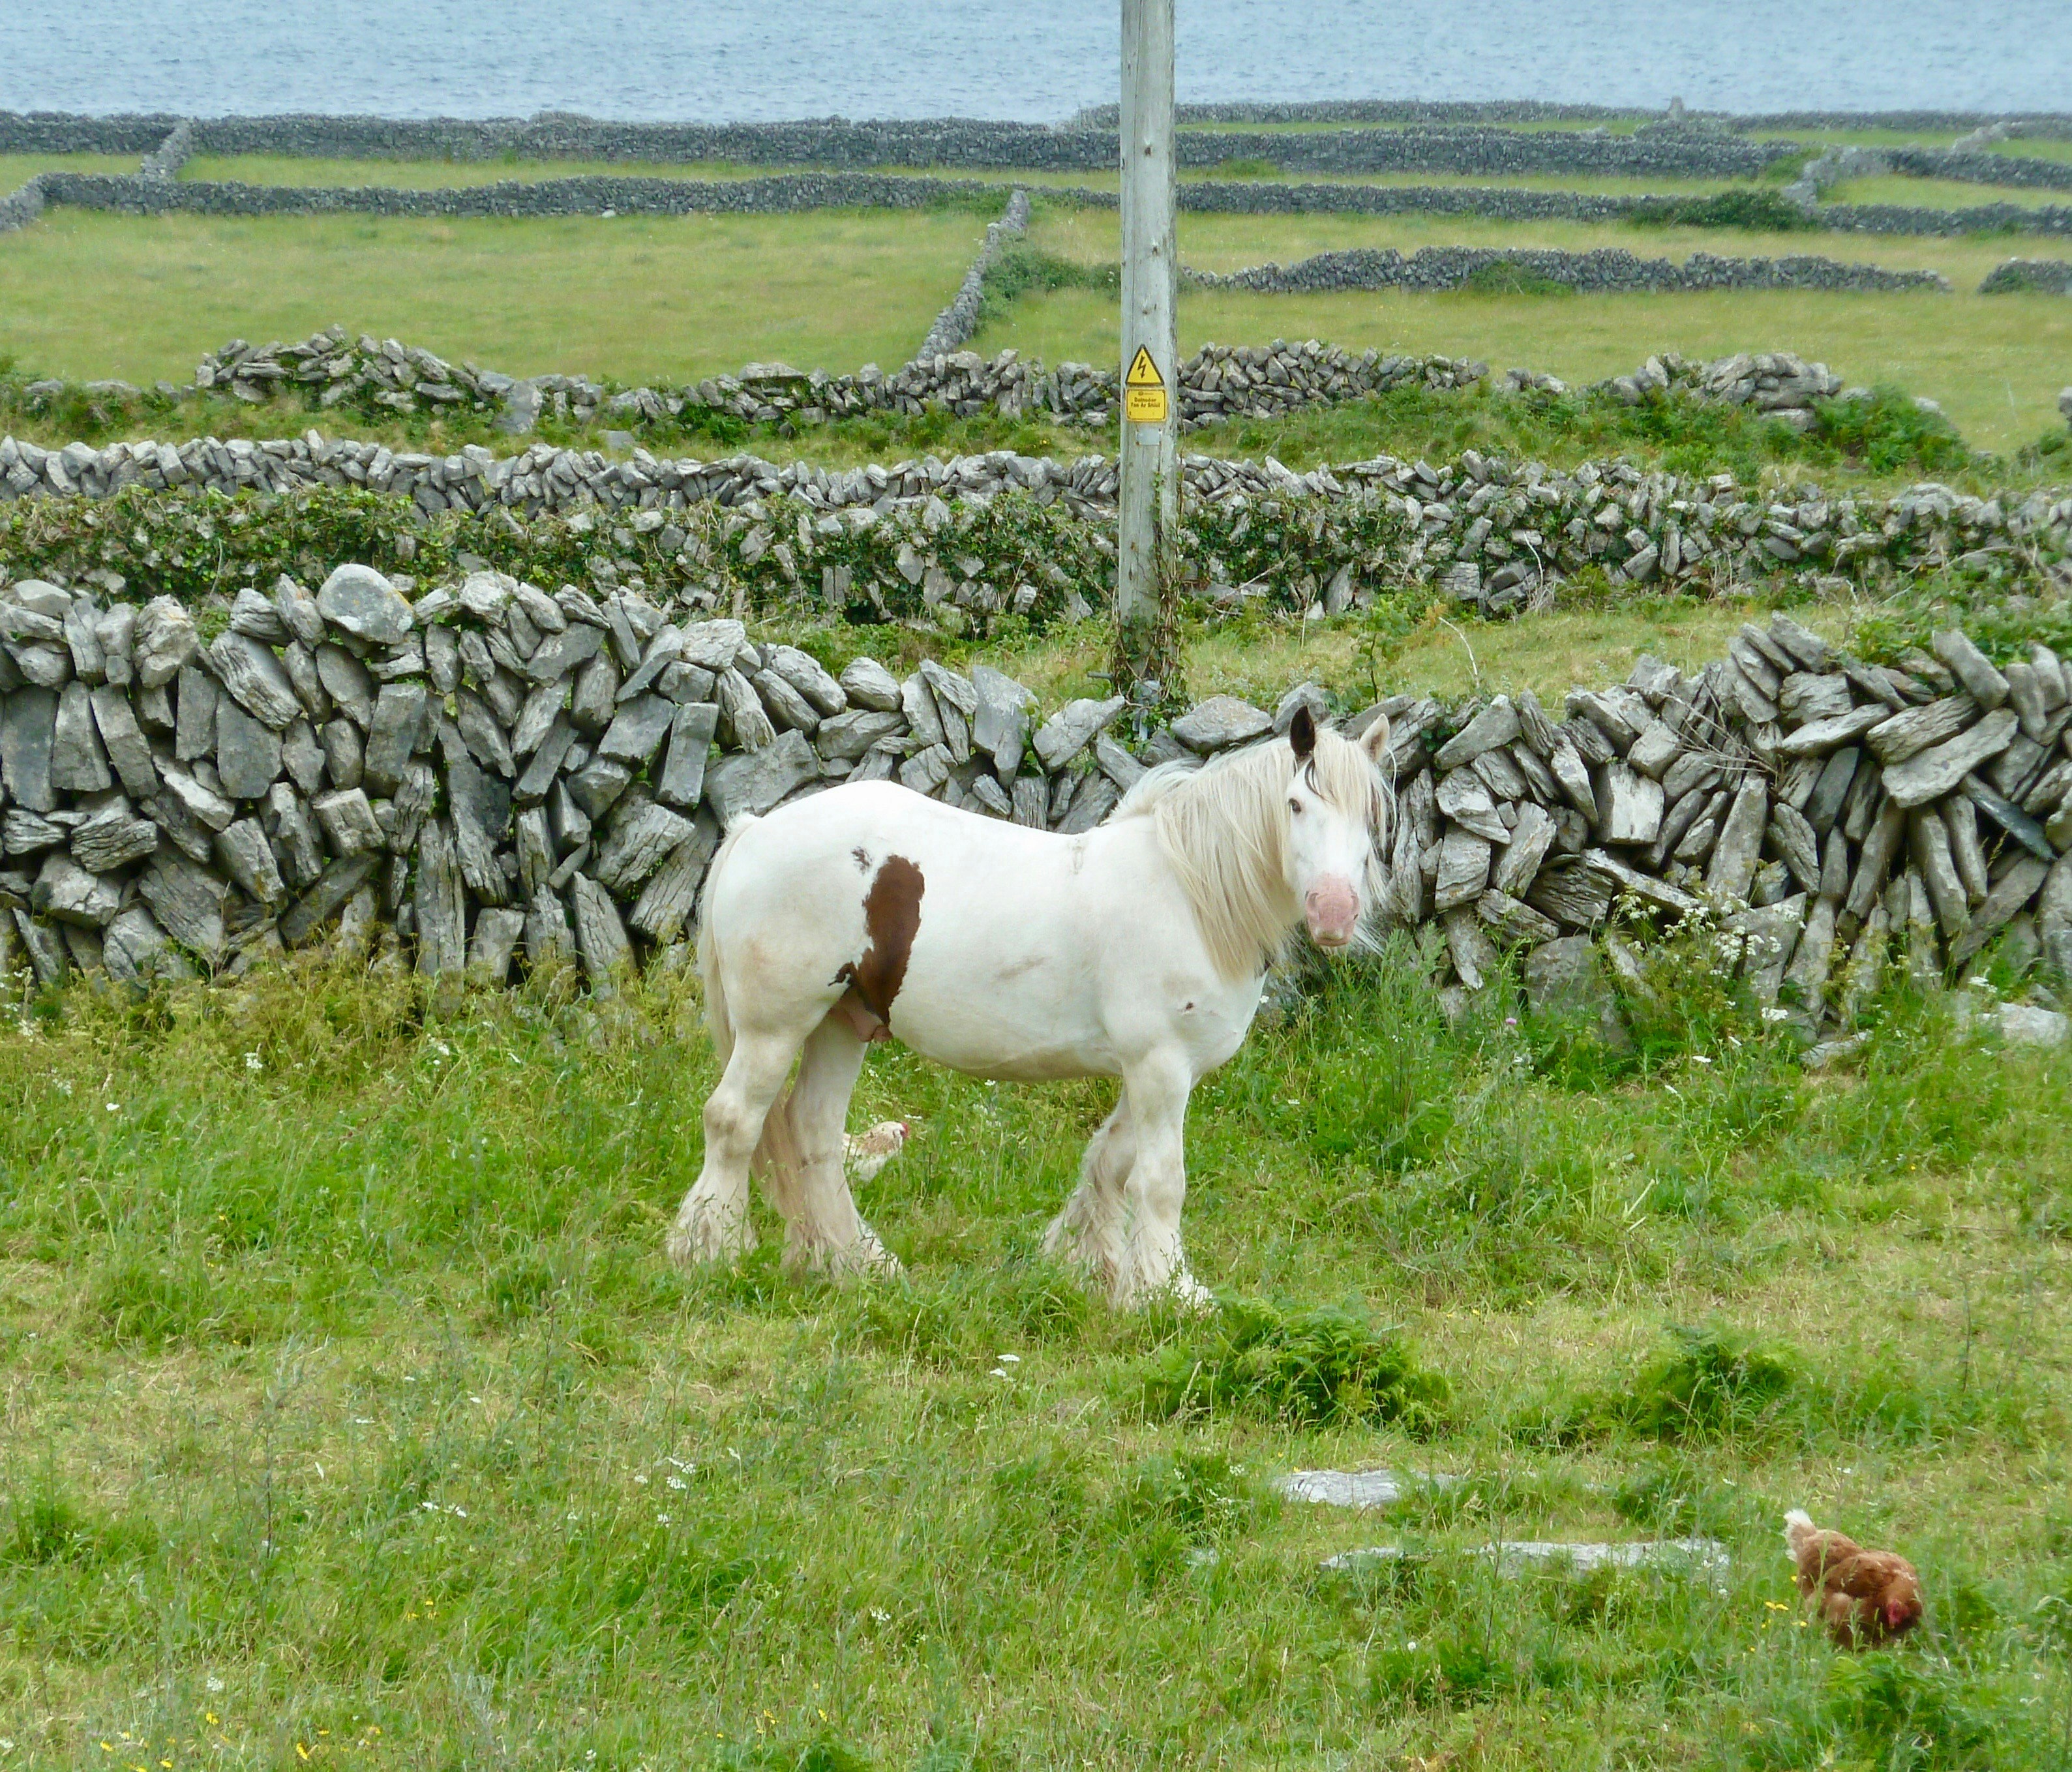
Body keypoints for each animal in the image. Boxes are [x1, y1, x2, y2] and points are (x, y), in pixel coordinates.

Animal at [666, 704, 1393, 1307]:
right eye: (1295, 803)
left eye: (1370, 816)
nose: (1334, 913)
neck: (1188, 893)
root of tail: (755, 828)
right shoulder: (1160, 1066)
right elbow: (1160, 1180)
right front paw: (1169, 1293)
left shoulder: (1148, 1071)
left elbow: (1109, 1165)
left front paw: (1093, 1269)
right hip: (776, 1027)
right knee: (733, 1121)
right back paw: (711, 1254)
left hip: (843, 1024)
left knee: (814, 1132)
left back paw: (858, 1264)